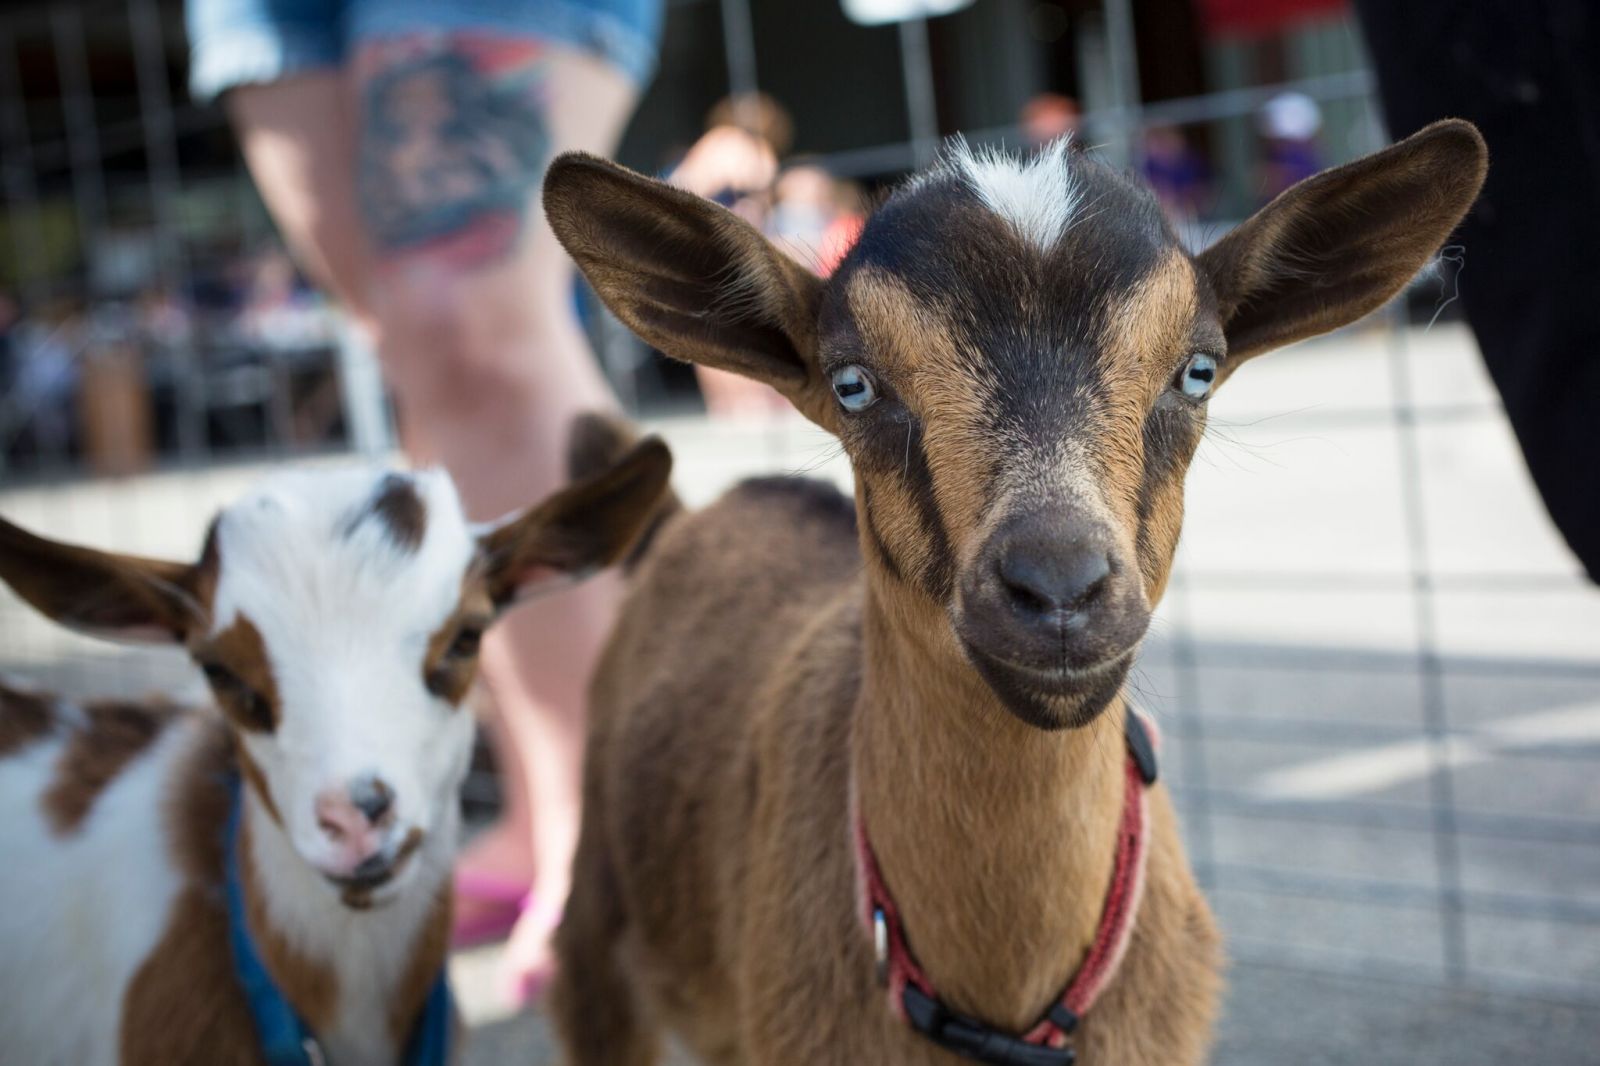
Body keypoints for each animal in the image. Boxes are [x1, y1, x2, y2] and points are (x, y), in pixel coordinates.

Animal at [539, 122, 1487, 1065]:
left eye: (1198, 370)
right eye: (852, 384)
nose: (1060, 587)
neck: (1000, 993)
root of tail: (682, 516)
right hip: (594, 945)